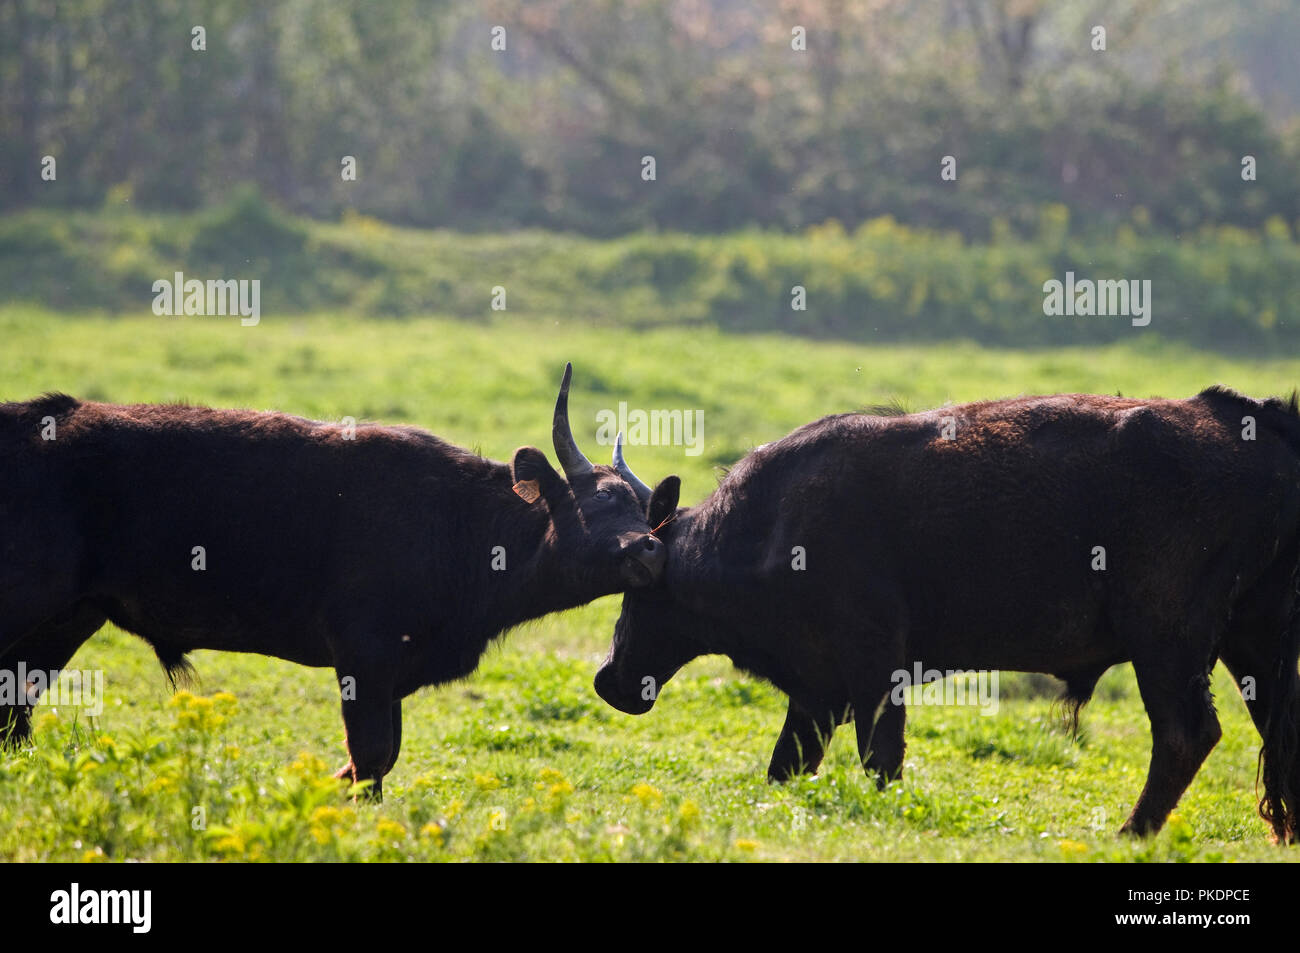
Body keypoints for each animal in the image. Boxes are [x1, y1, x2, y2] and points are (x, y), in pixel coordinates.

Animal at [0, 364, 675, 798]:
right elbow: (370, 758)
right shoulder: (363, 657)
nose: (650, 549)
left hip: (67, 620)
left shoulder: (391, 674)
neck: (460, 524)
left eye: (646, 514)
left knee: (15, 714)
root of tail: (37, 415)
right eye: (593, 504)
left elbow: (383, 759)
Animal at [596, 386, 1300, 842]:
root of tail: (1252, 421)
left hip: (1167, 639)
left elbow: (879, 758)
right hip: (1252, 643)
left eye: (640, 585)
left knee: (1187, 734)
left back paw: (1130, 835)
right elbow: (787, 765)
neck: (772, 525)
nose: (609, 680)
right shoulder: (818, 688)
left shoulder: (873, 667)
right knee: (1277, 737)